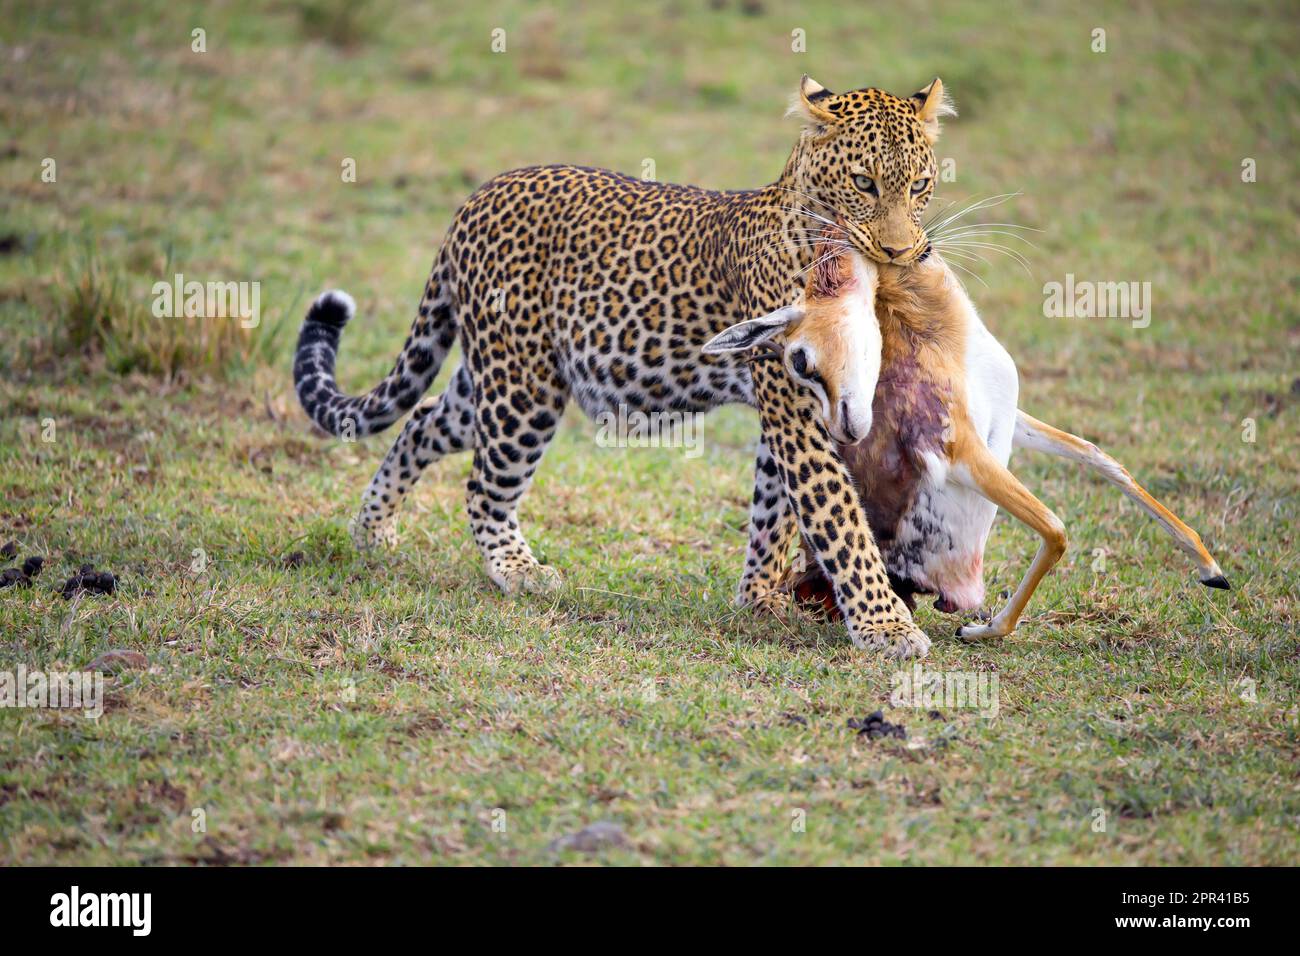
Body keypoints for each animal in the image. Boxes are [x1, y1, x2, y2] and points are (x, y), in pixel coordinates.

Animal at [292, 76, 956, 659]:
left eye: (921, 184)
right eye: (864, 183)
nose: (902, 251)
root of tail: (478, 196)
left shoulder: (793, 412)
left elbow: (776, 511)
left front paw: (760, 599)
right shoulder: (795, 408)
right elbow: (837, 515)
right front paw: (887, 628)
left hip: (499, 373)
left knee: (423, 418)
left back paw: (372, 532)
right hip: (523, 390)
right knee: (484, 484)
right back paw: (518, 569)